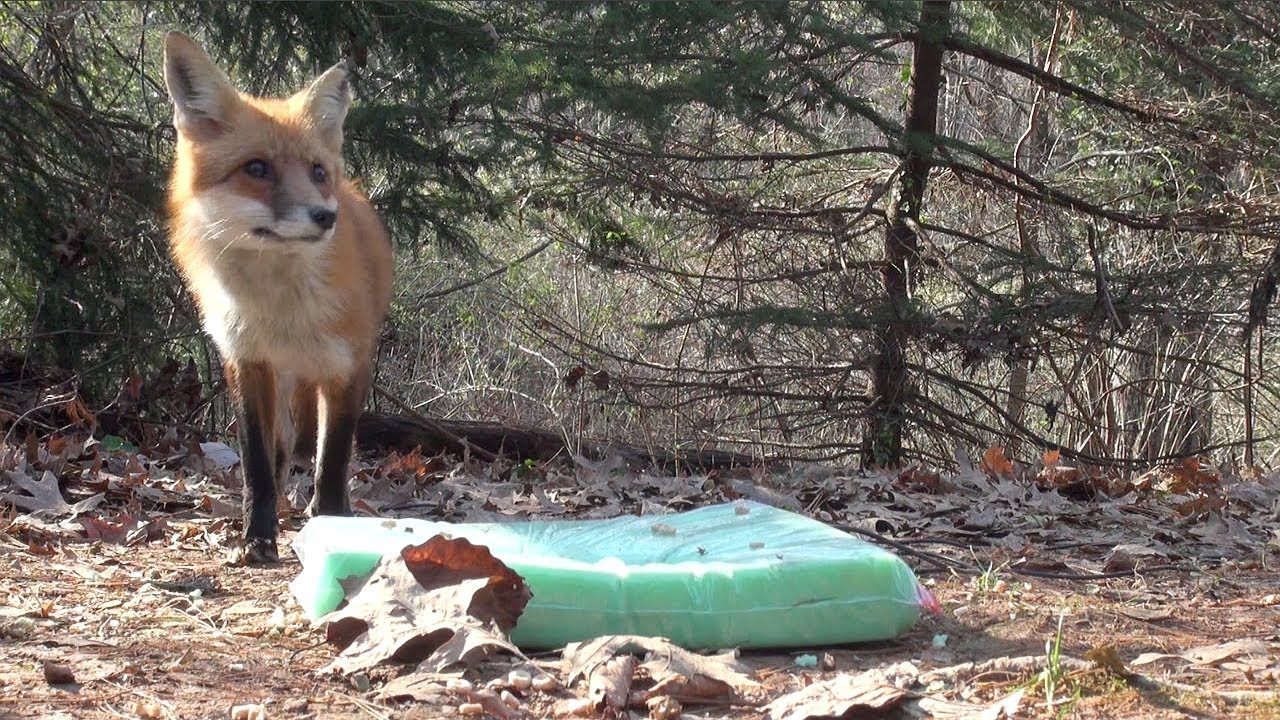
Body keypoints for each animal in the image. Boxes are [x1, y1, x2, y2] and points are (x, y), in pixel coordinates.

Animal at [162, 32, 393, 564]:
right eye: (257, 168)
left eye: (317, 172)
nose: (325, 216)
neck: (282, 311)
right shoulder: (245, 362)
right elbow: (257, 465)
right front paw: (257, 535)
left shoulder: (348, 366)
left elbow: (333, 459)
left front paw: (332, 523)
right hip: (282, 383)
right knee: (283, 447)